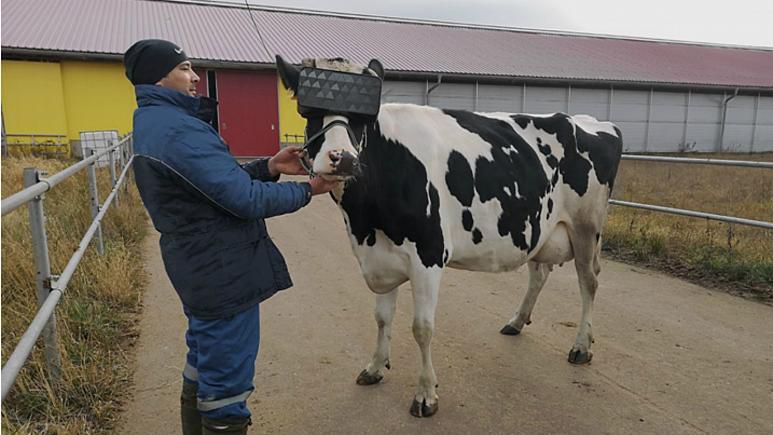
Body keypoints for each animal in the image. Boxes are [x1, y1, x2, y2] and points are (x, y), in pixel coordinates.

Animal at [276, 55, 623, 418]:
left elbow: (422, 328)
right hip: (539, 226)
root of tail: (591, 121)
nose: (342, 158)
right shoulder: (380, 257)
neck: (365, 222)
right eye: (309, 113)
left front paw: (426, 394)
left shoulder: (428, 255)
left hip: (587, 227)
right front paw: (375, 367)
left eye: (363, 118)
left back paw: (581, 346)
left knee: (589, 281)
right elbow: (382, 318)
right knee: (539, 272)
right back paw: (517, 321)